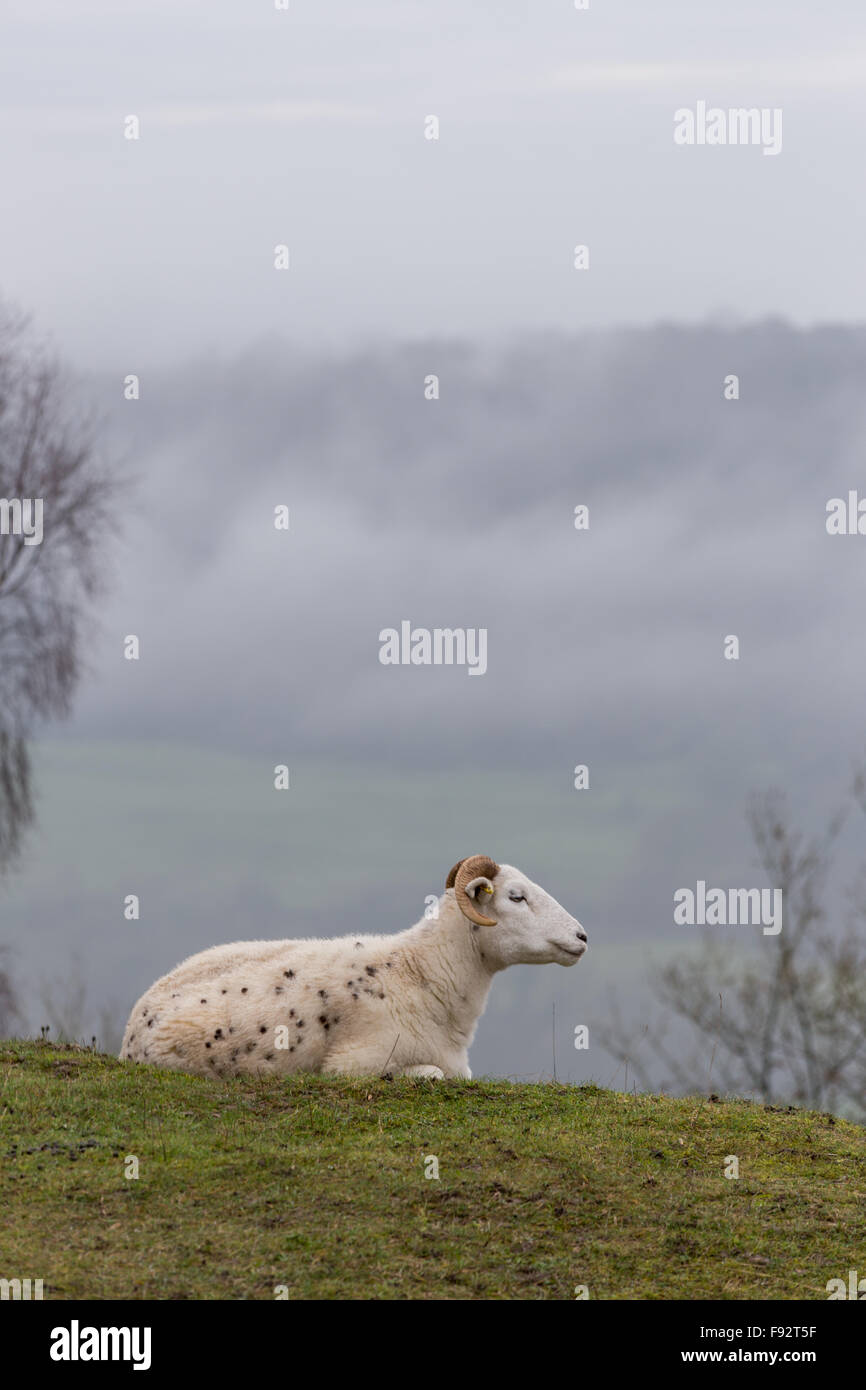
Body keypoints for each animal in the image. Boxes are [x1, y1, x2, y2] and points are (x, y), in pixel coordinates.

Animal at [119, 854, 588, 1080]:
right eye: (515, 897)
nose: (582, 937)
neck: (421, 972)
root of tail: (130, 1029)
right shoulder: (352, 1064)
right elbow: (435, 1075)